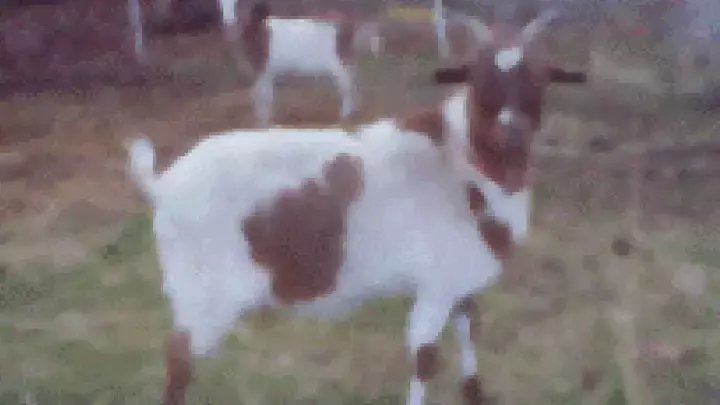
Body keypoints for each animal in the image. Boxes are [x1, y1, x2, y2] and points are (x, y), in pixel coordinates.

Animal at [127, 8, 586, 405]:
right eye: (479, 78)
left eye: (540, 80)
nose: (513, 133)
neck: (460, 163)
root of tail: (163, 184)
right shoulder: (436, 283)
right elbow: (424, 357)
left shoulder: (461, 277)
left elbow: (469, 339)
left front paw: (477, 394)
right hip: (204, 294)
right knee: (179, 363)